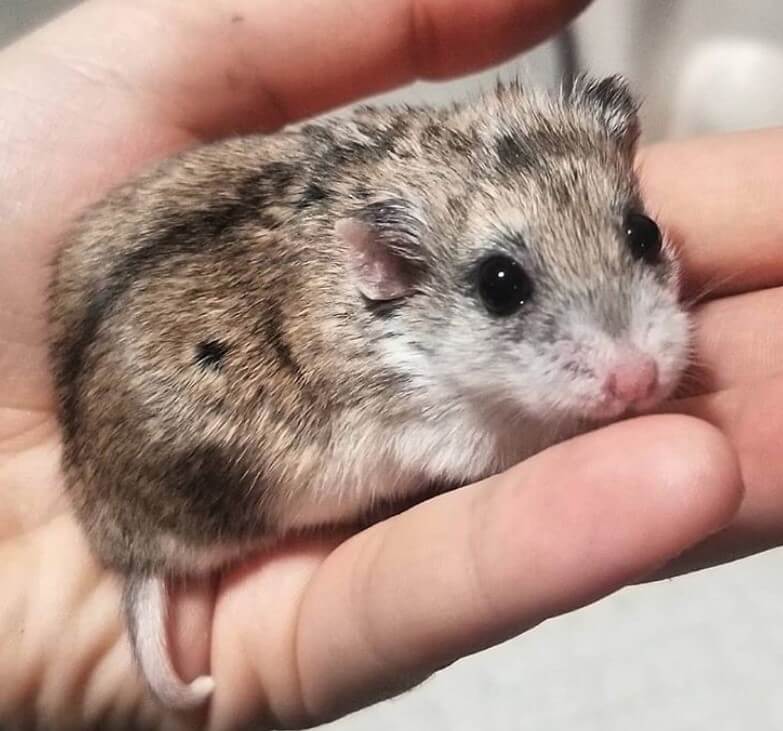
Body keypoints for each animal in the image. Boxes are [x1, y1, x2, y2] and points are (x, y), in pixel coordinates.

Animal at [48, 75, 691, 710]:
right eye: (500, 285)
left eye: (645, 233)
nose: (639, 379)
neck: (401, 330)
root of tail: (119, 545)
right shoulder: (448, 437)